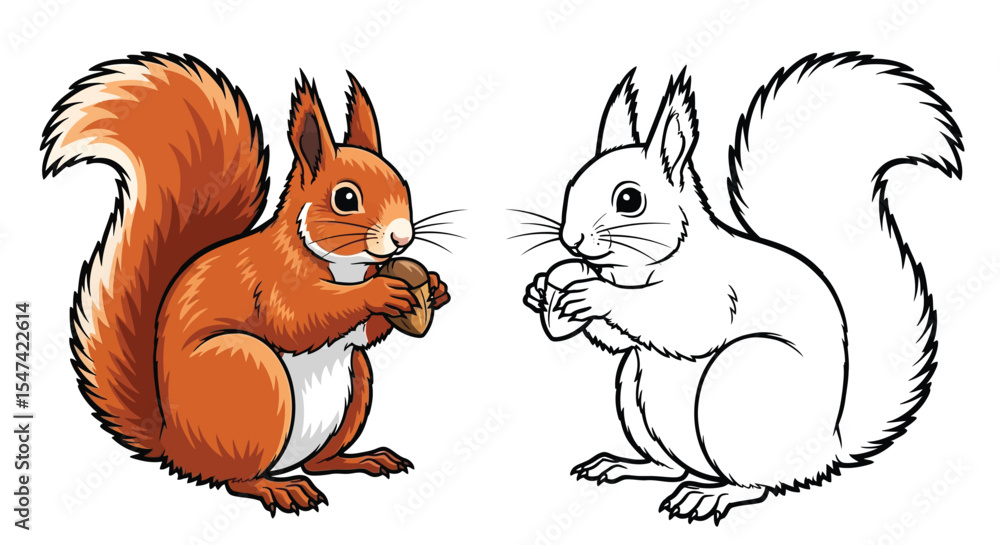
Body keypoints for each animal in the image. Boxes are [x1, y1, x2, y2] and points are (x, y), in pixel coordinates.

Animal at [41, 53, 449, 515]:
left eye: (404, 184)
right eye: (346, 198)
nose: (402, 237)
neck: (345, 268)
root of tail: (173, 446)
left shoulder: (354, 332)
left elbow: (361, 335)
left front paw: (435, 287)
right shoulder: (272, 281)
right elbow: (298, 319)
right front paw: (380, 292)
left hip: (356, 385)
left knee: (319, 461)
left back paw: (360, 459)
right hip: (250, 373)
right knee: (236, 480)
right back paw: (279, 488)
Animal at [523, 53, 963, 524]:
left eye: (629, 200)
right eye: (571, 186)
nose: (572, 240)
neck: (642, 270)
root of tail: (827, 450)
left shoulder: (715, 290)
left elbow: (686, 325)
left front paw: (594, 295)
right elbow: (618, 341)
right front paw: (540, 291)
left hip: (741, 393)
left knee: (757, 486)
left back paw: (711, 495)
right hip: (634, 393)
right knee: (669, 464)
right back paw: (627, 465)